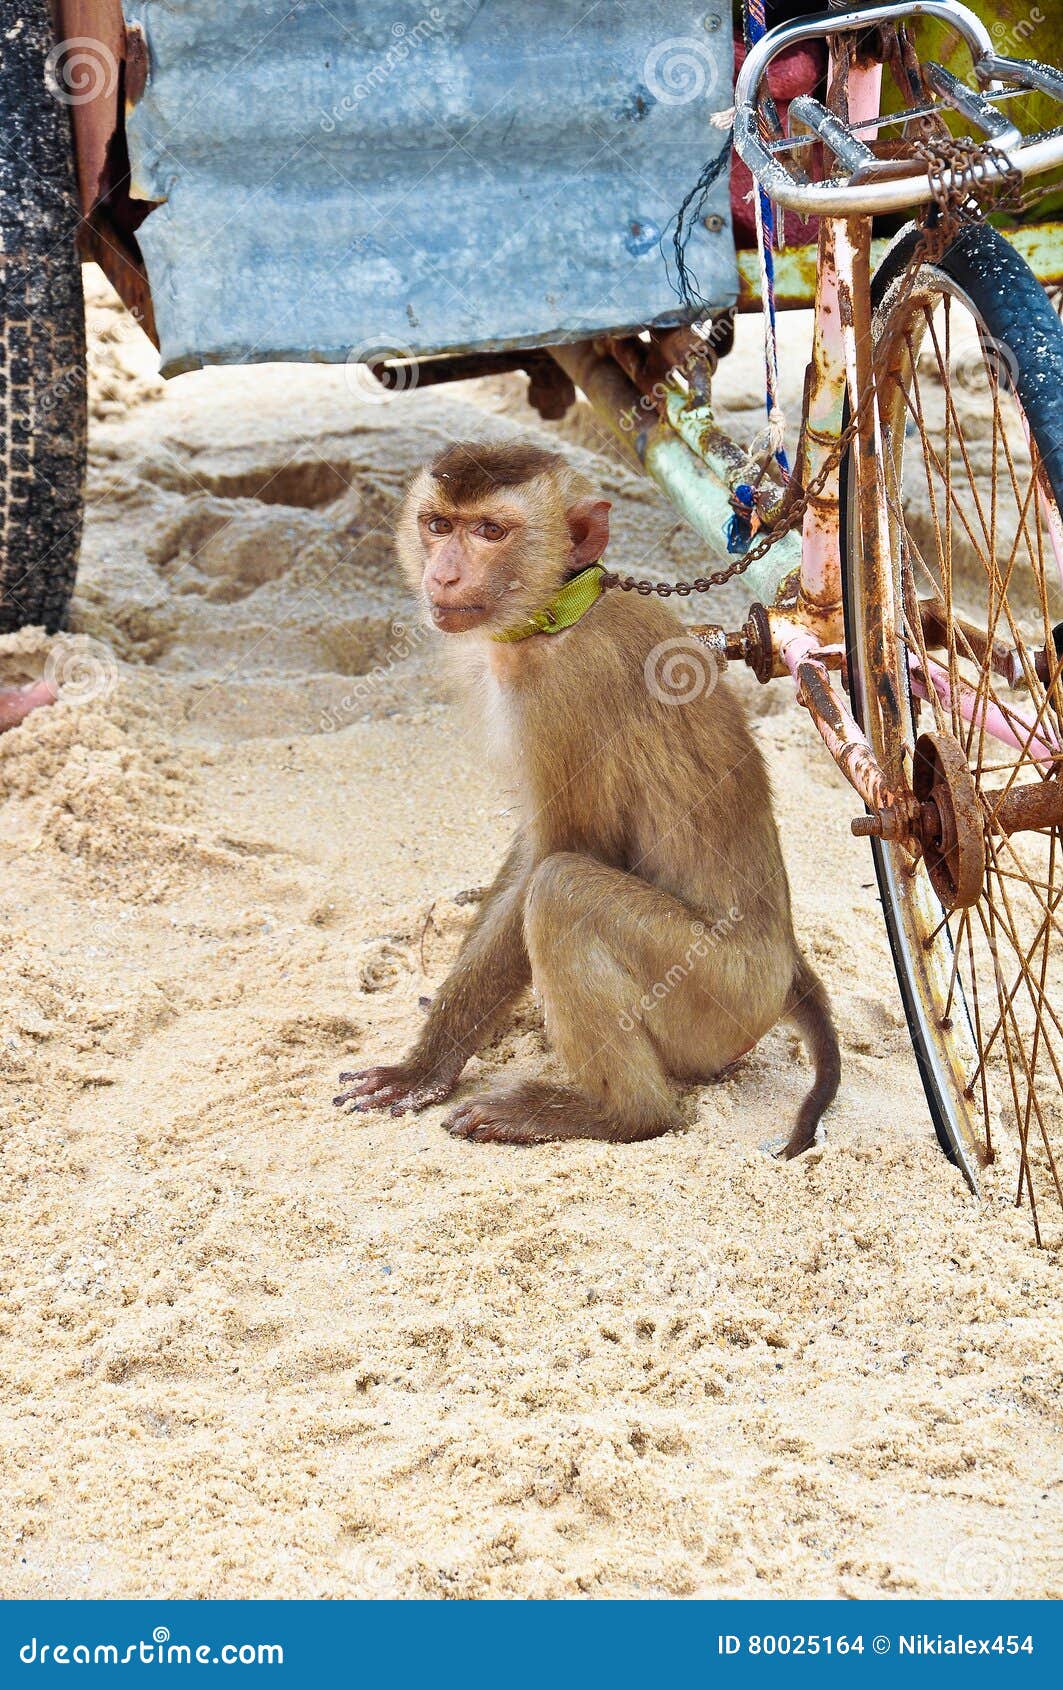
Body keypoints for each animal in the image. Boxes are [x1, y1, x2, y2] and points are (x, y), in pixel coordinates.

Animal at [333, 440, 840, 1154]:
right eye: (438, 524)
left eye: (490, 531)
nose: (445, 575)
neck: (562, 610)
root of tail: (782, 970)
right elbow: (527, 852)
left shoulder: (565, 695)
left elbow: (560, 853)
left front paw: (426, 1065)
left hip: (716, 998)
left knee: (562, 891)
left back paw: (619, 1115)